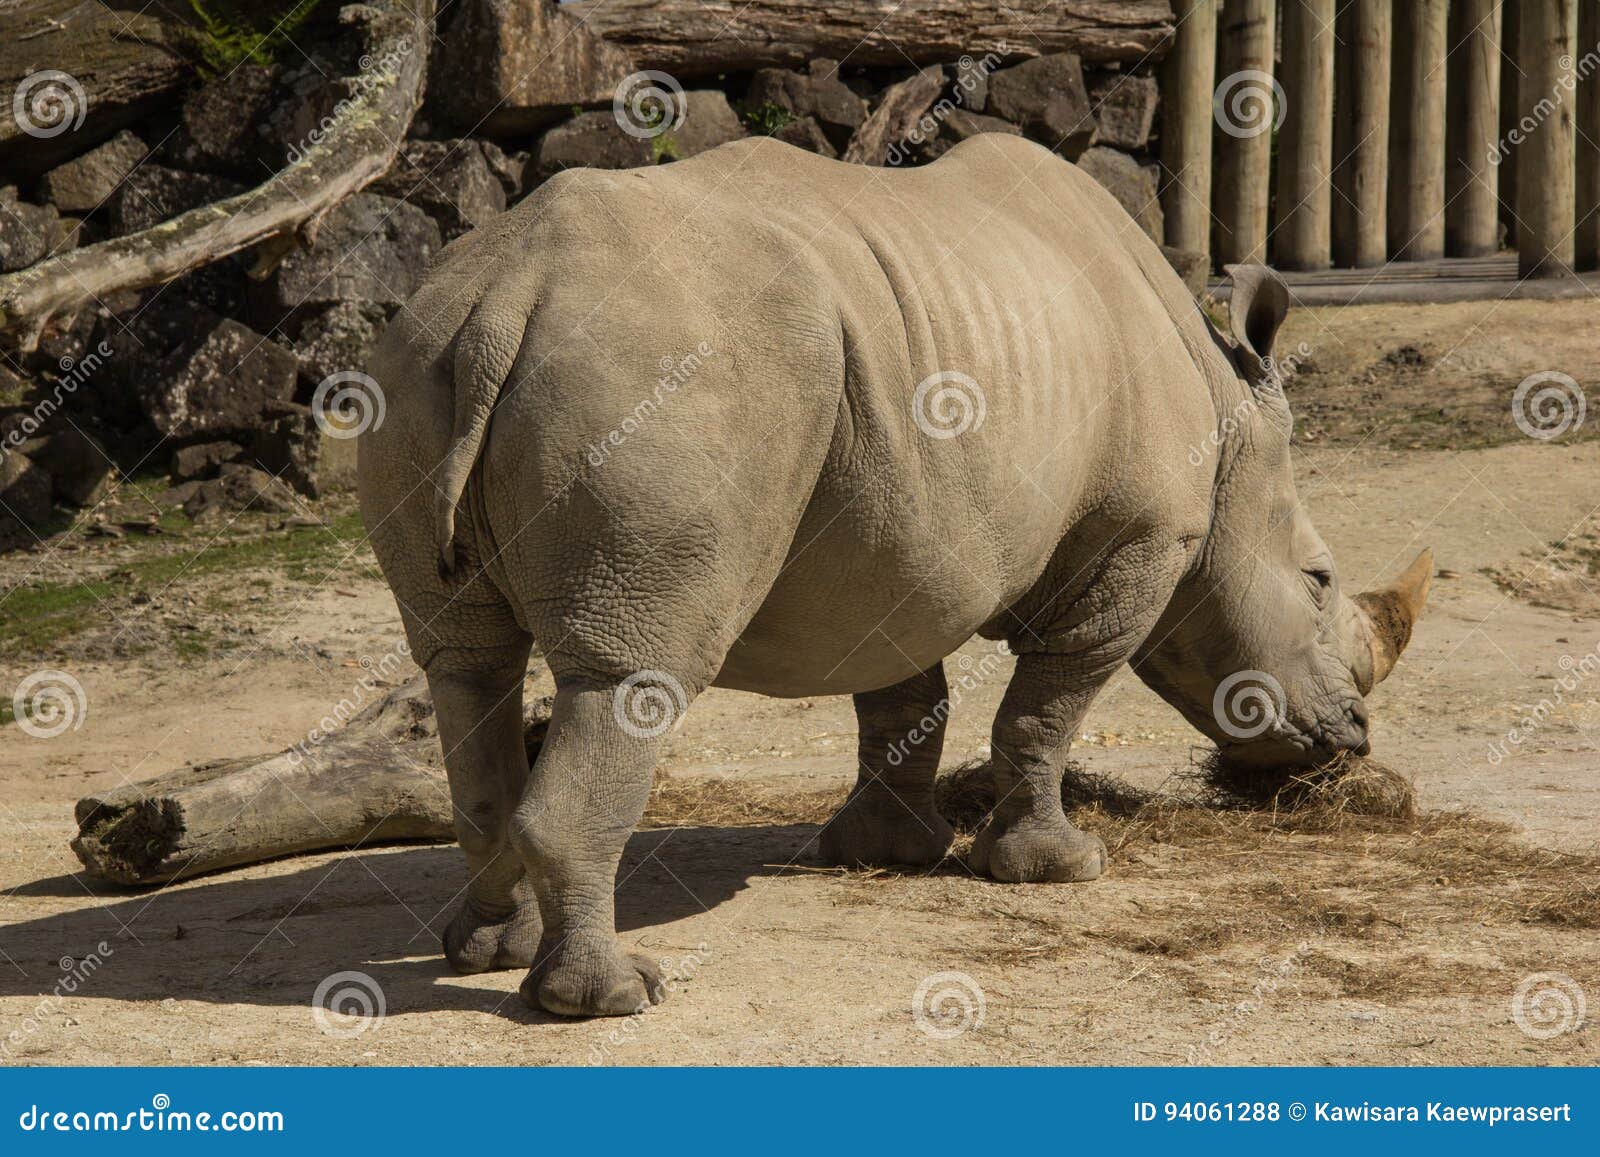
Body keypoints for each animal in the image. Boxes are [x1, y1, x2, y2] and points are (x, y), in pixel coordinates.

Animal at [359, 133, 1431, 1018]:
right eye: (1320, 579)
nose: (1355, 734)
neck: (1223, 421)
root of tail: (511, 292)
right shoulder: (1139, 538)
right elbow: (1044, 708)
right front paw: (1058, 867)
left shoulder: (898, 534)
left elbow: (900, 693)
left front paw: (885, 851)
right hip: (660, 378)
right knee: (632, 672)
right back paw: (612, 997)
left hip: (418, 359)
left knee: (466, 662)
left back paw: (490, 951)